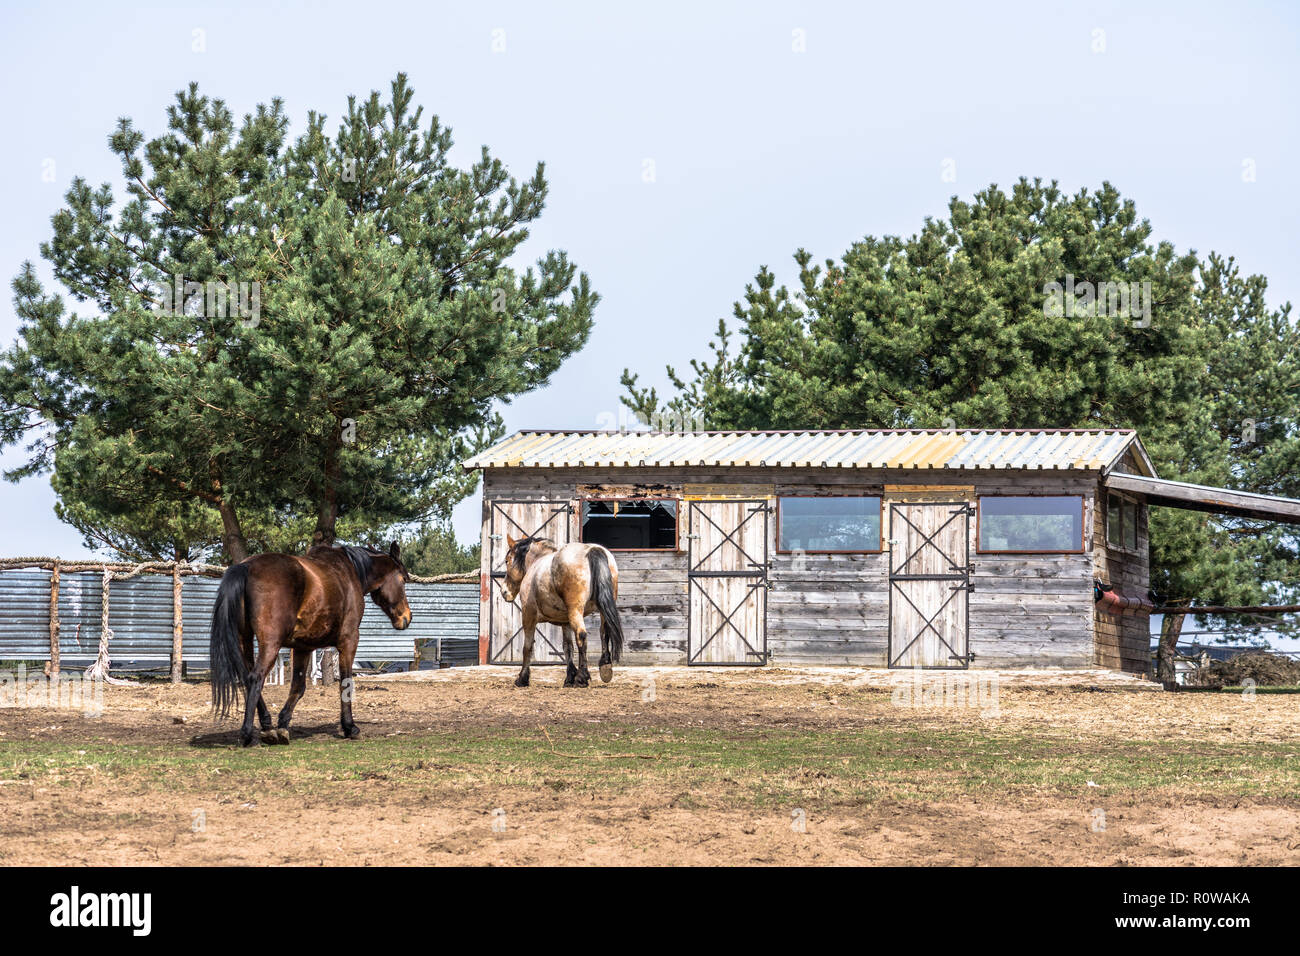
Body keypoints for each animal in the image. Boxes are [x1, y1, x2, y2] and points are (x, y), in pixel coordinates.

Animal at [209, 542, 410, 746]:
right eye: (403, 580)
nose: (406, 617)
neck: (349, 571)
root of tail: (246, 566)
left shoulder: (302, 648)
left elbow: (298, 688)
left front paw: (283, 725)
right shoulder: (349, 641)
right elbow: (345, 683)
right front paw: (350, 727)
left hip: (245, 641)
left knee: (247, 678)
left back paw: (267, 727)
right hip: (270, 645)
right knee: (255, 678)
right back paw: (248, 734)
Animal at [502, 535, 624, 688]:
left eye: (507, 561)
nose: (504, 592)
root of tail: (592, 549)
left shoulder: (528, 615)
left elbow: (527, 647)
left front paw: (522, 678)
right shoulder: (565, 622)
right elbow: (568, 647)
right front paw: (569, 677)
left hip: (575, 611)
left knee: (581, 635)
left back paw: (581, 678)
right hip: (601, 610)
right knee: (604, 632)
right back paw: (605, 667)